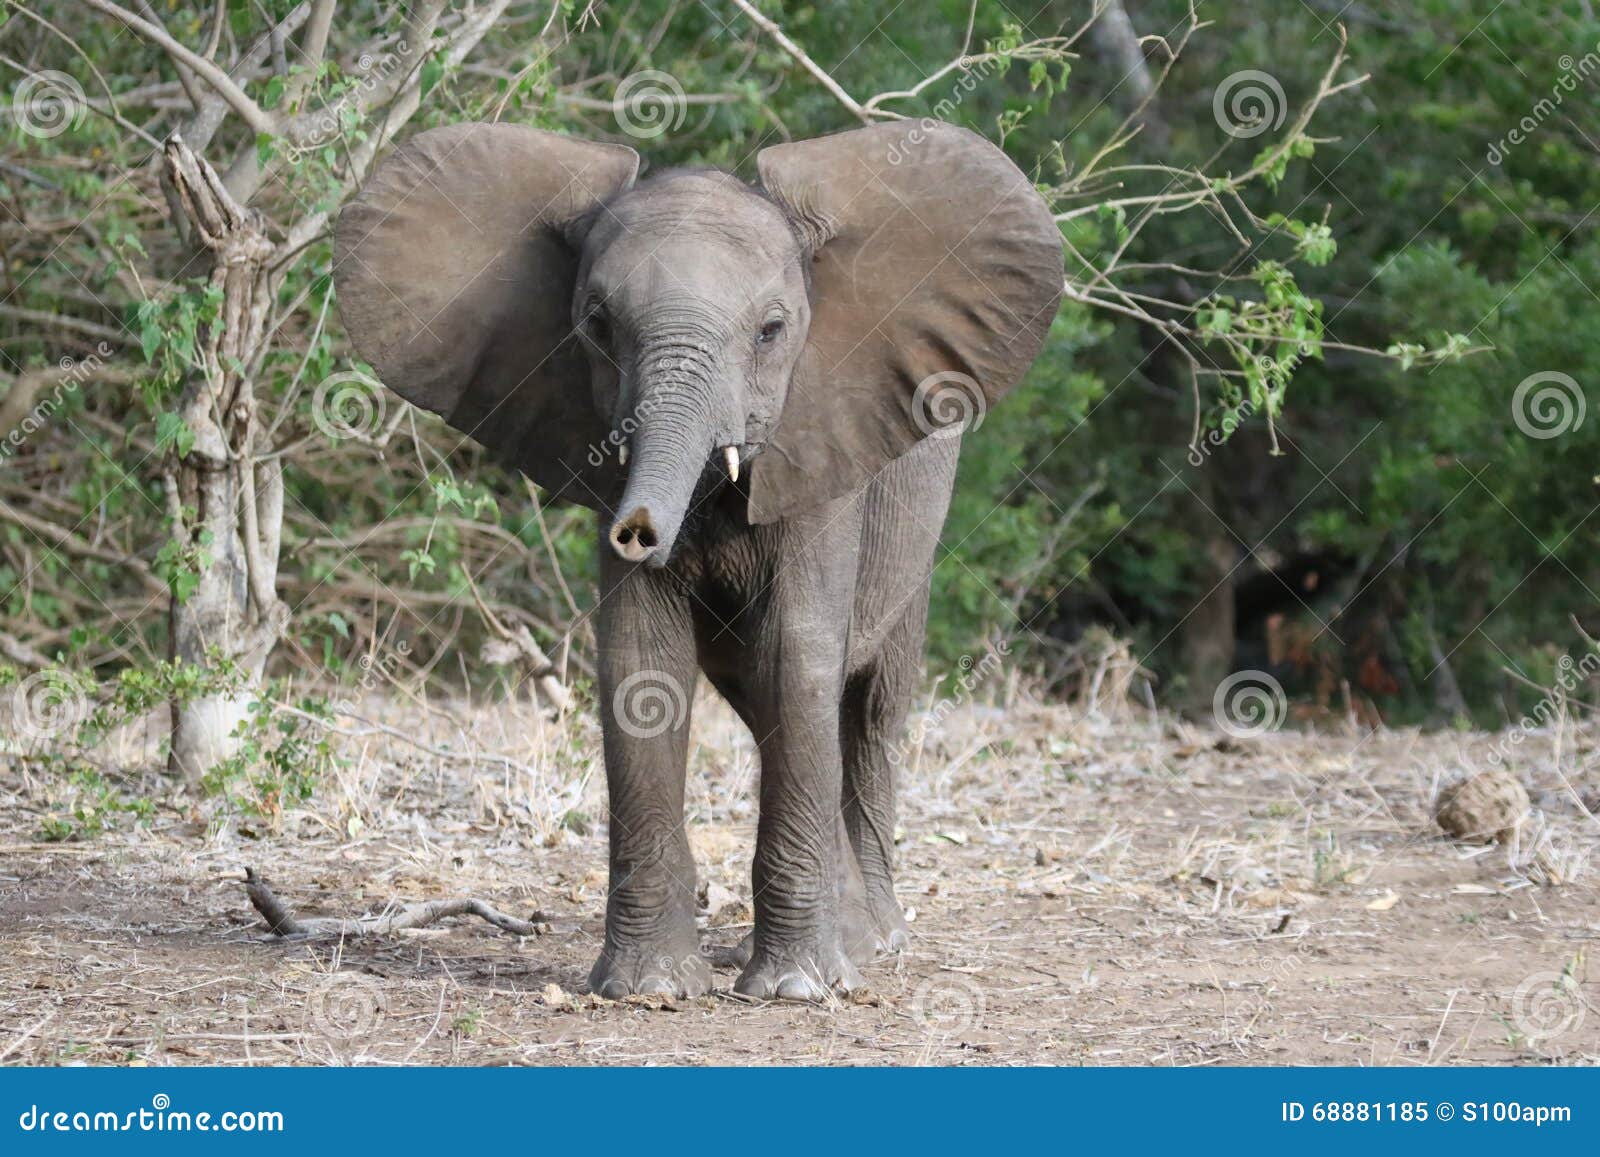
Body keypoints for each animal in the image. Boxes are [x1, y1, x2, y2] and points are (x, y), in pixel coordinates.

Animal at [333, 119, 1062, 1001]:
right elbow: (642, 662)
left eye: (772, 331)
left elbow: (797, 653)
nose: (639, 532)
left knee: (871, 707)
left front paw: (794, 990)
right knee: (761, 698)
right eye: (597, 326)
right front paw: (649, 988)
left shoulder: (824, 442)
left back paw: (872, 939)